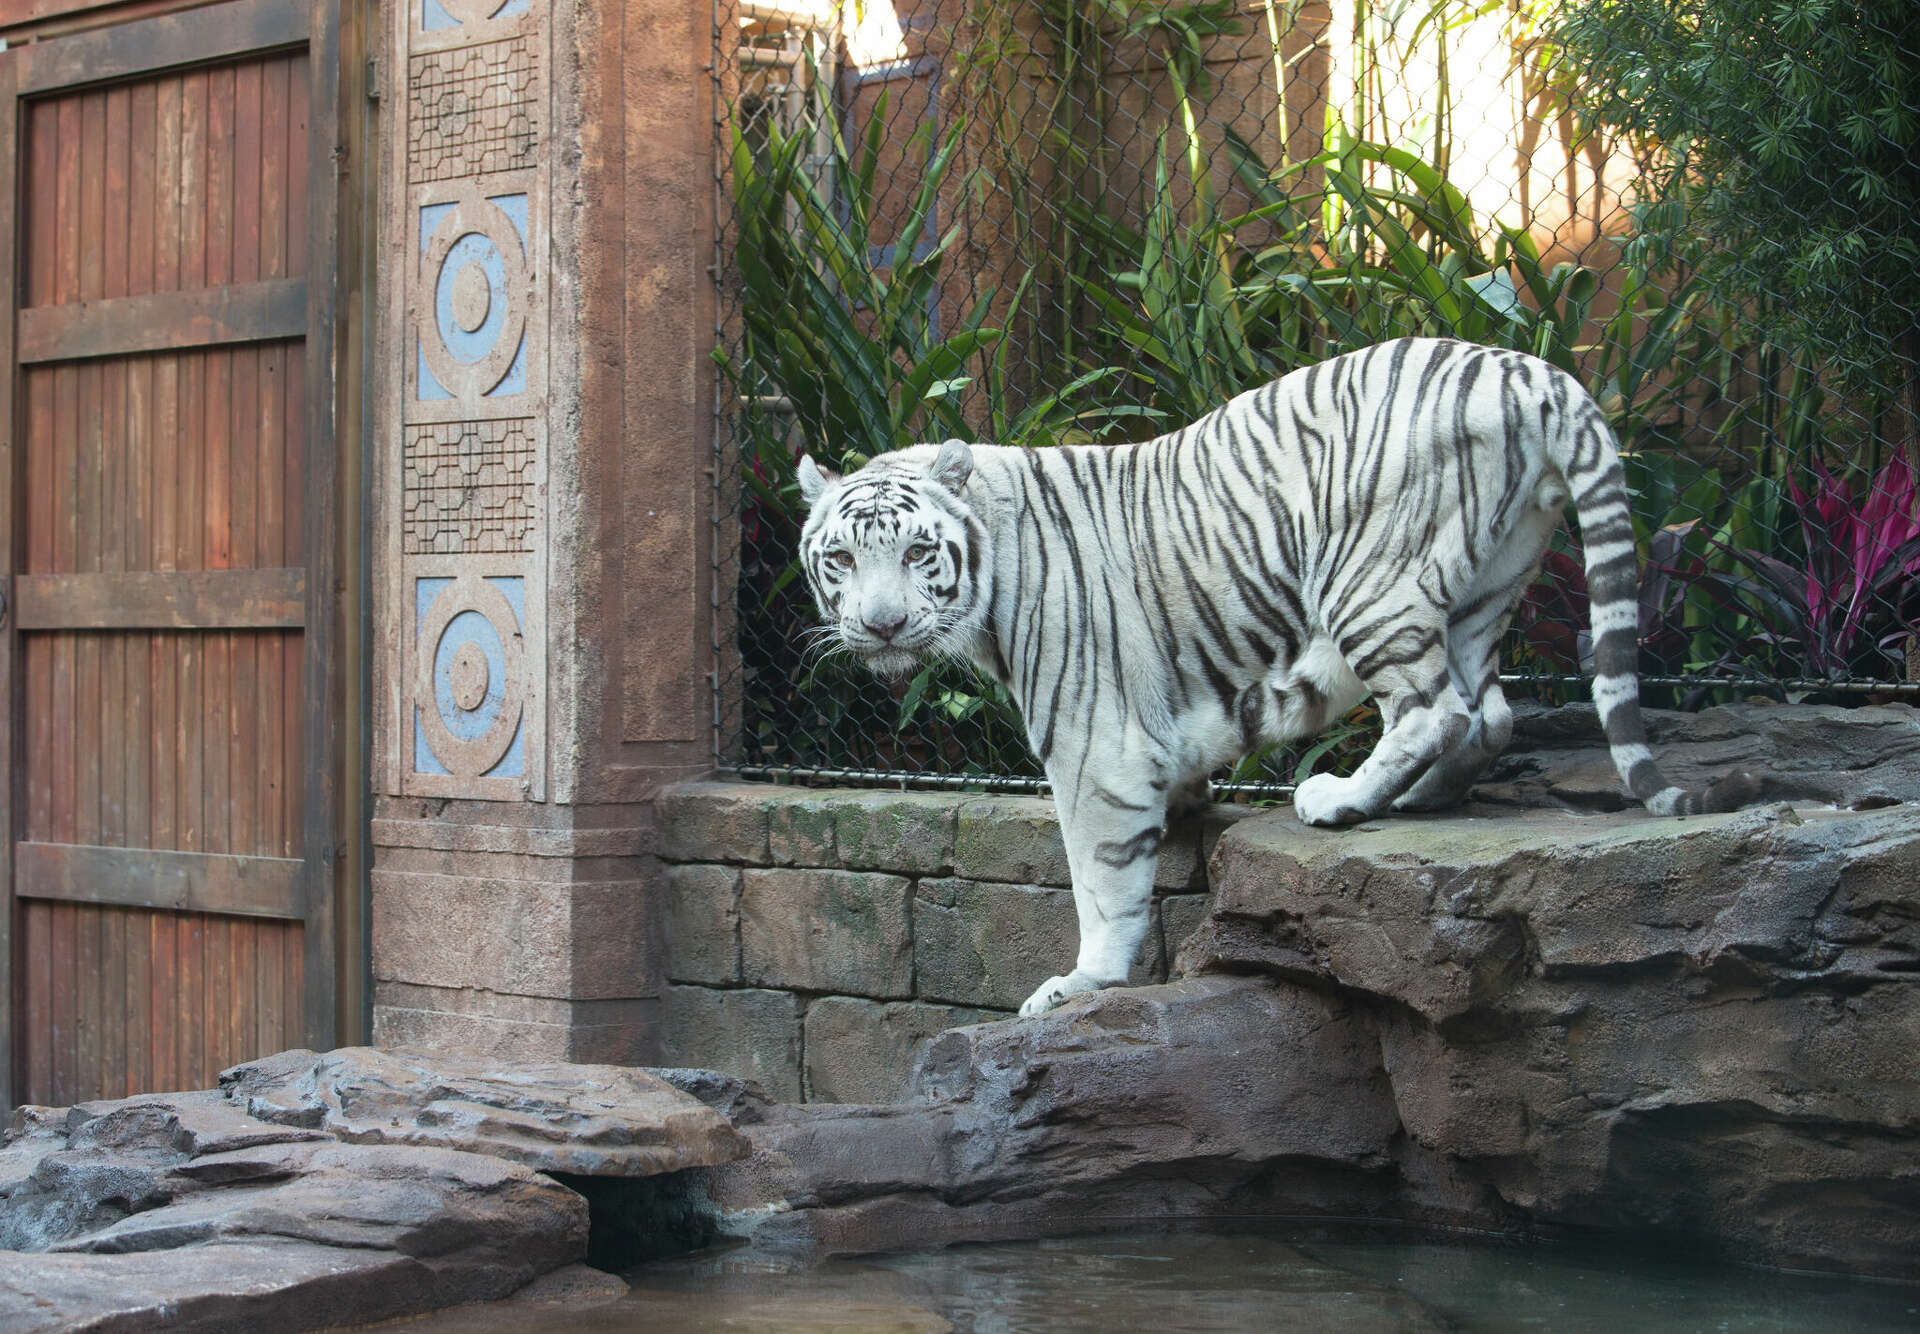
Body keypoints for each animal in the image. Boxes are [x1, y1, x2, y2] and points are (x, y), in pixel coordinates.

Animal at [795, 337, 1757, 1017]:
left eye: (918, 553)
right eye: (840, 559)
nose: (881, 625)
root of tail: (1527, 368)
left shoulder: (1091, 746)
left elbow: (1099, 878)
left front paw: (1081, 983)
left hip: (1369, 579)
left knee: (1436, 709)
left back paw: (1338, 798)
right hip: (1495, 576)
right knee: (1489, 715)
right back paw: (1407, 798)